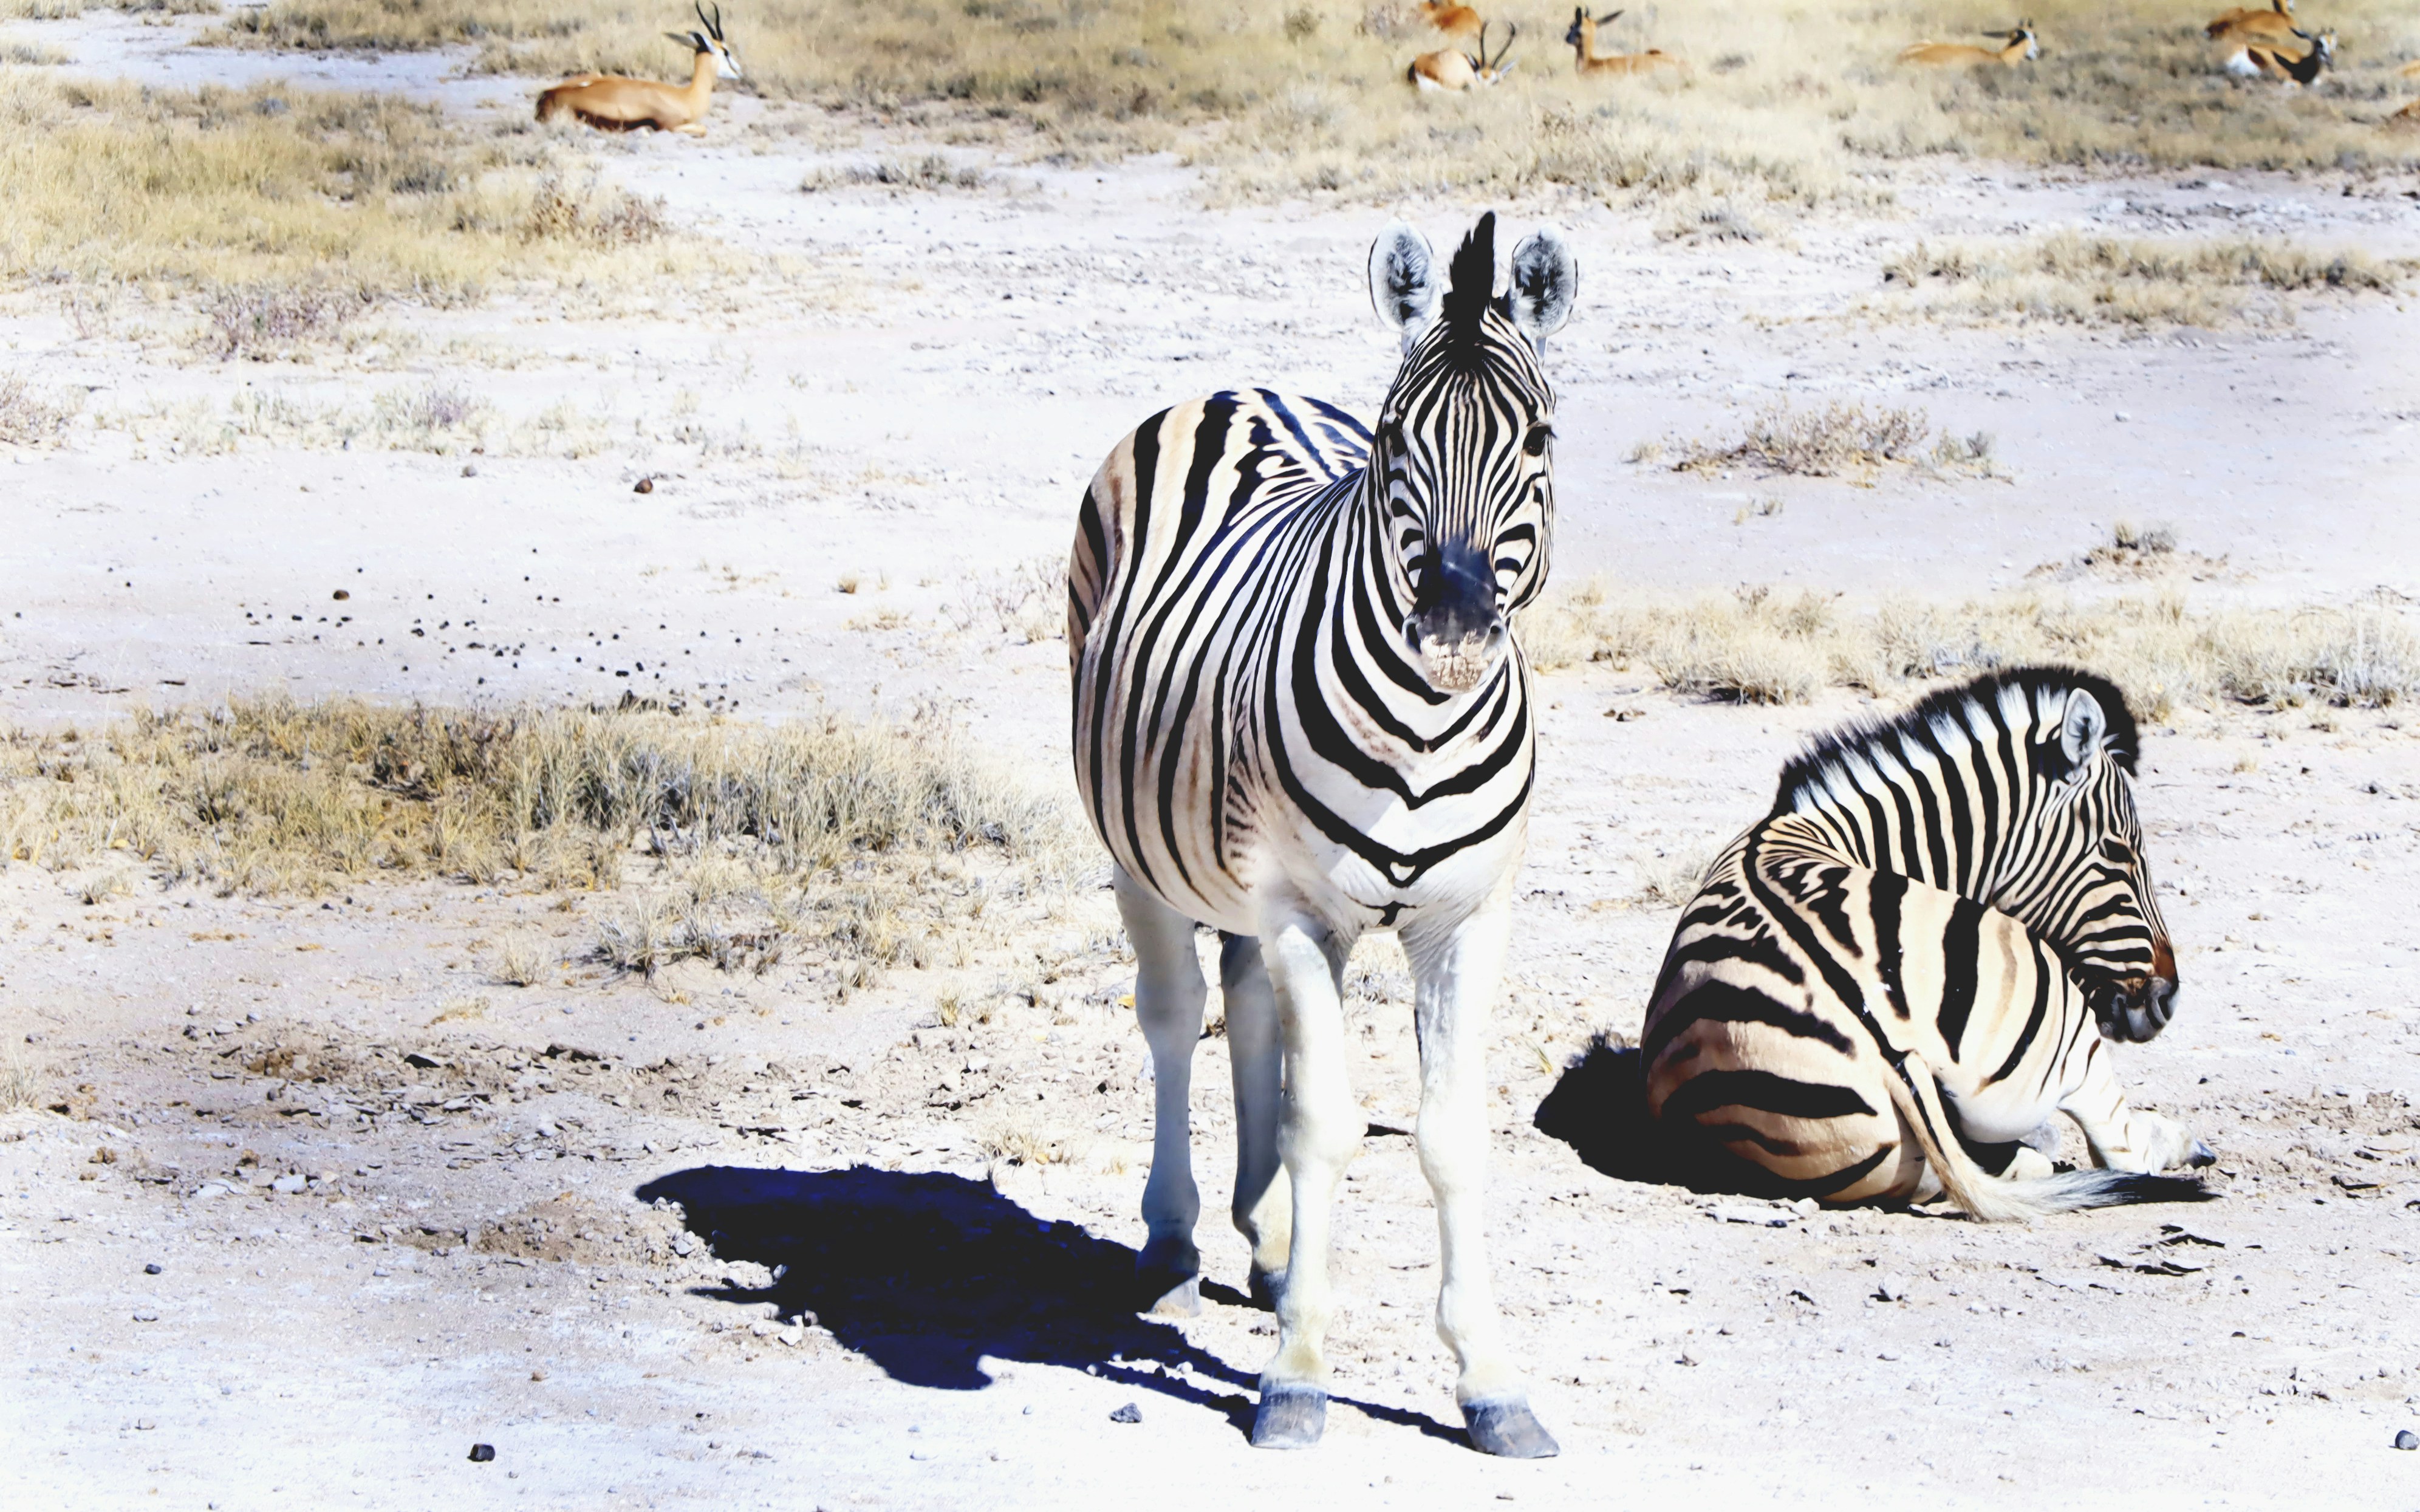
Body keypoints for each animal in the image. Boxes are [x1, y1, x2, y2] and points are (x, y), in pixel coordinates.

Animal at [1067, 213, 1576, 1456]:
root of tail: (1236, 389)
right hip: (1143, 856)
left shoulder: (1463, 919)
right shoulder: (1303, 907)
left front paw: (1490, 1380)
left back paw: (1265, 1239)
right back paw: (1176, 1245)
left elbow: (1446, 1132)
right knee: (1175, 1019)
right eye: (1397, 440)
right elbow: (1325, 1123)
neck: (1424, 730)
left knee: (1249, 1004)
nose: (1452, 630)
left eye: (1537, 437)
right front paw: (1297, 1370)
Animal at [1639, 667, 2216, 1221]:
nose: (2167, 998)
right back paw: (2187, 1144)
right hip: (2072, 1028)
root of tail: (1895, 1050)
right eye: (2119, 852)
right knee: (2119, 1151)